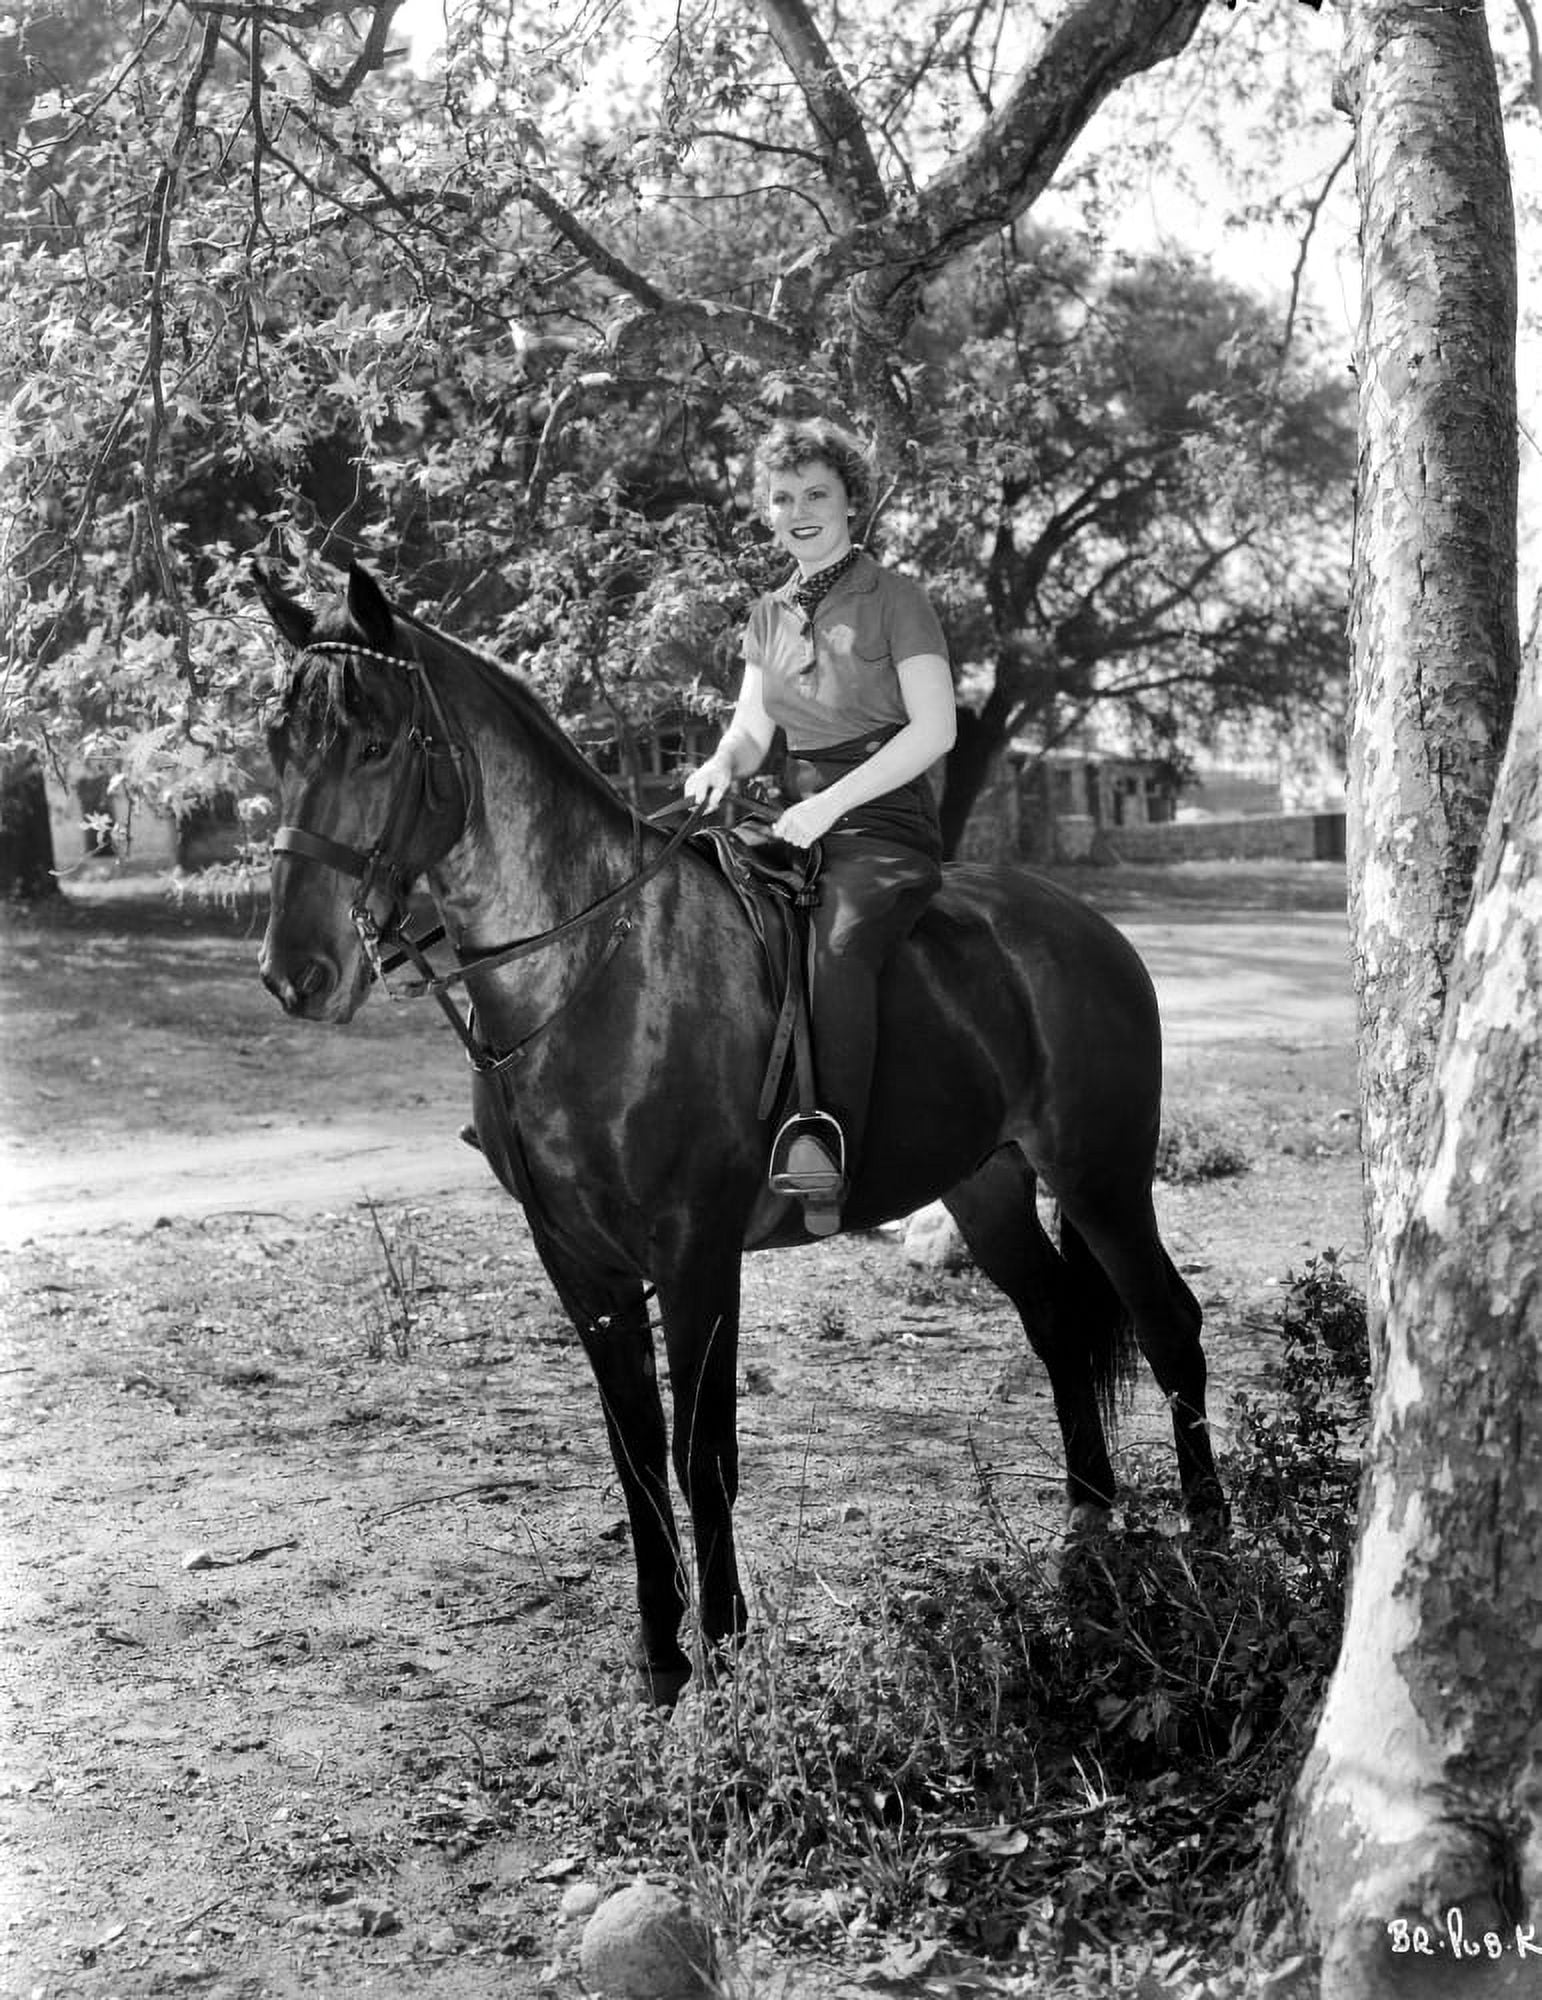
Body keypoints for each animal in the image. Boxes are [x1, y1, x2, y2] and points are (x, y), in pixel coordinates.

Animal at [256, 562, 1224, 1705]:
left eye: (373, 744)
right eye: (278, 744)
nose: (296, 973)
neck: (591, 967)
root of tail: (1085, 928)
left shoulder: (696, 1252)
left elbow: (700, 1451)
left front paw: (724, 1656)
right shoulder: (579, 1263)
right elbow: (635, 1458)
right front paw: (663, 1663)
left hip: (1101, 1177)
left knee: (1169, 1325)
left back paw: (1214, 1542)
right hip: (989, 1185)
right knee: (1060, 1325)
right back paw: (1085, 1533)